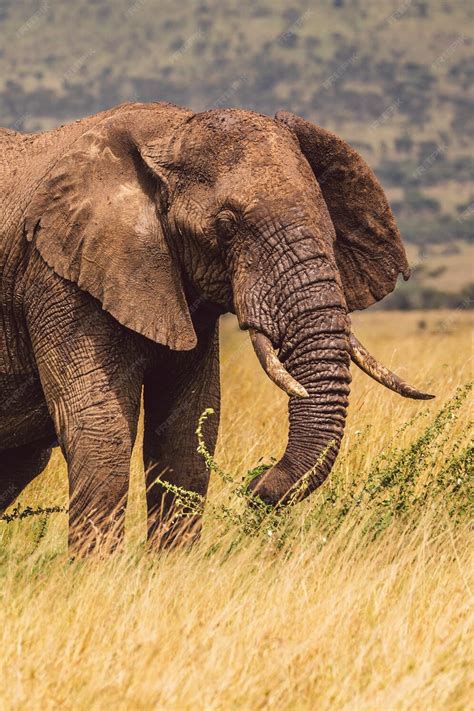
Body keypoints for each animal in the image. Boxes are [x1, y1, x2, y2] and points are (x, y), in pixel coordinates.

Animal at [0, 102, 433, 551]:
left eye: (330, 228)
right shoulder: (58, 276)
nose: (254, 486)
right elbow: (101, 429)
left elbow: (186, 432)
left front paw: (173, 562)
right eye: (226, 226)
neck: (170, 133)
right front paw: (97, 568)